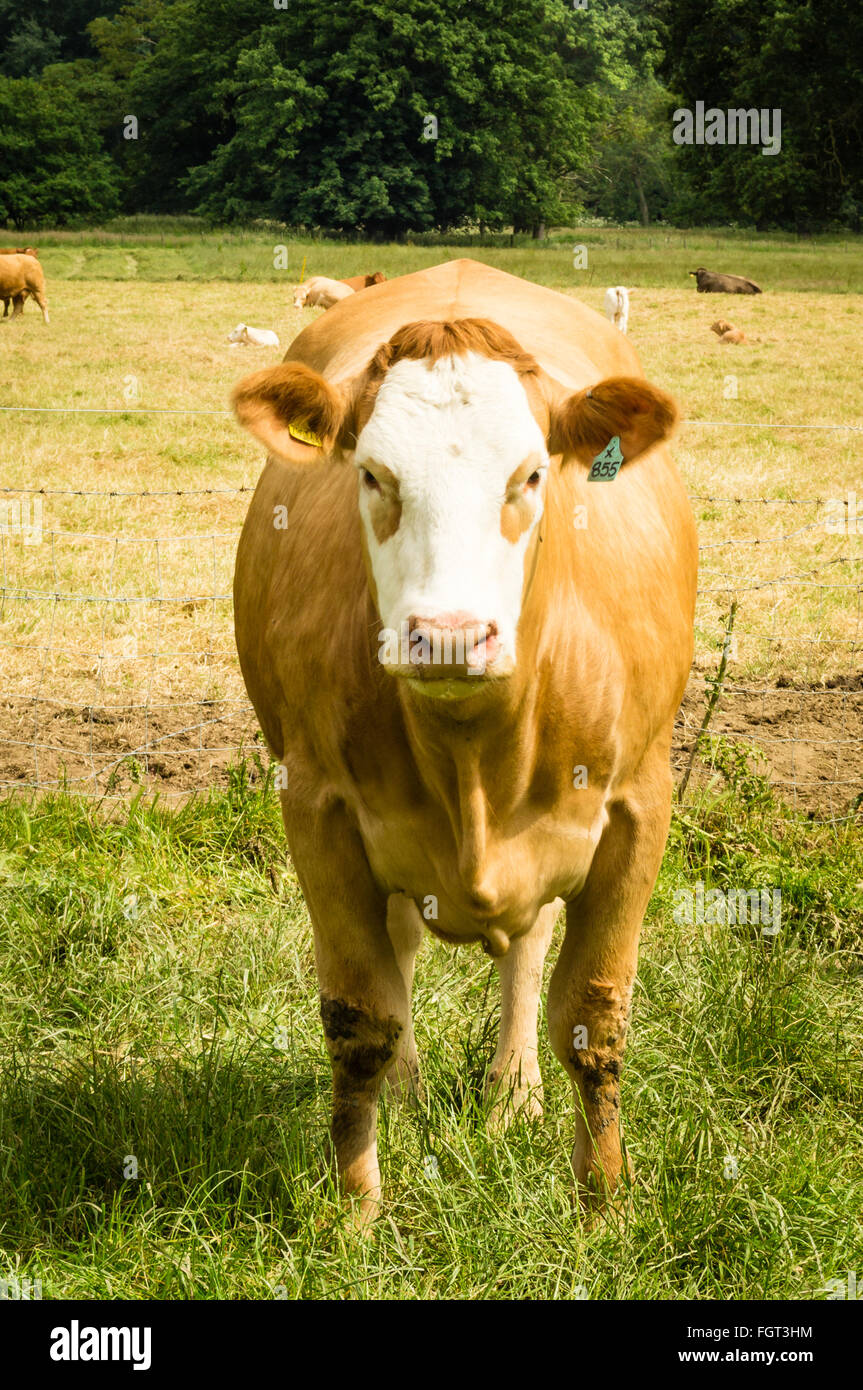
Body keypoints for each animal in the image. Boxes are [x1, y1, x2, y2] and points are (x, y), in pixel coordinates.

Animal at [231, 259, 697, 1230]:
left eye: (529, 475)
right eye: (371, 474)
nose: (446, 635)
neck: (475, 754)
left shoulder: (637, 809)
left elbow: (594, 1014)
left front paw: (602, 1201)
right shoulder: (319, 813)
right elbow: (359, 1017)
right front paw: (356, 1211)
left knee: (528, 950)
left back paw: (511, 1091)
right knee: (402, 949)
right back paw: (413, 1093)